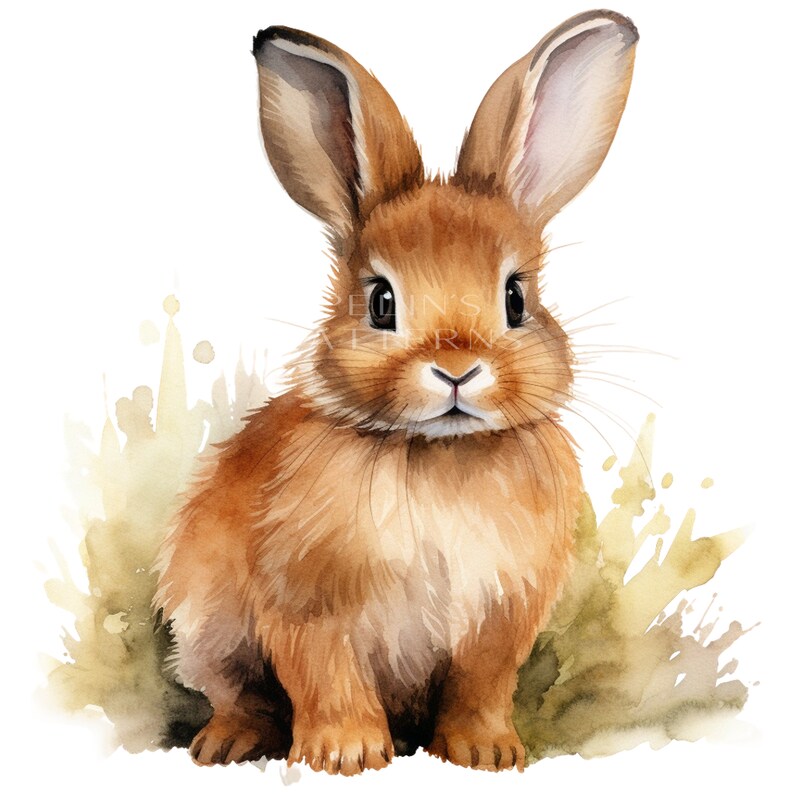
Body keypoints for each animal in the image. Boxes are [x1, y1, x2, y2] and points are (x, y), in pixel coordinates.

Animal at [154, 9, 637, 775]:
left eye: (516, 298)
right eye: (381, 301)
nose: (457, 368)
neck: (439, 453)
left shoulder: (501, 619)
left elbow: (481, 686)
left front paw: (486, 753)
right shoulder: (305, 605)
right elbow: (325, 676)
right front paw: (346, 755)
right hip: (210, 630)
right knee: (240, 695)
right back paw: (226, 744)